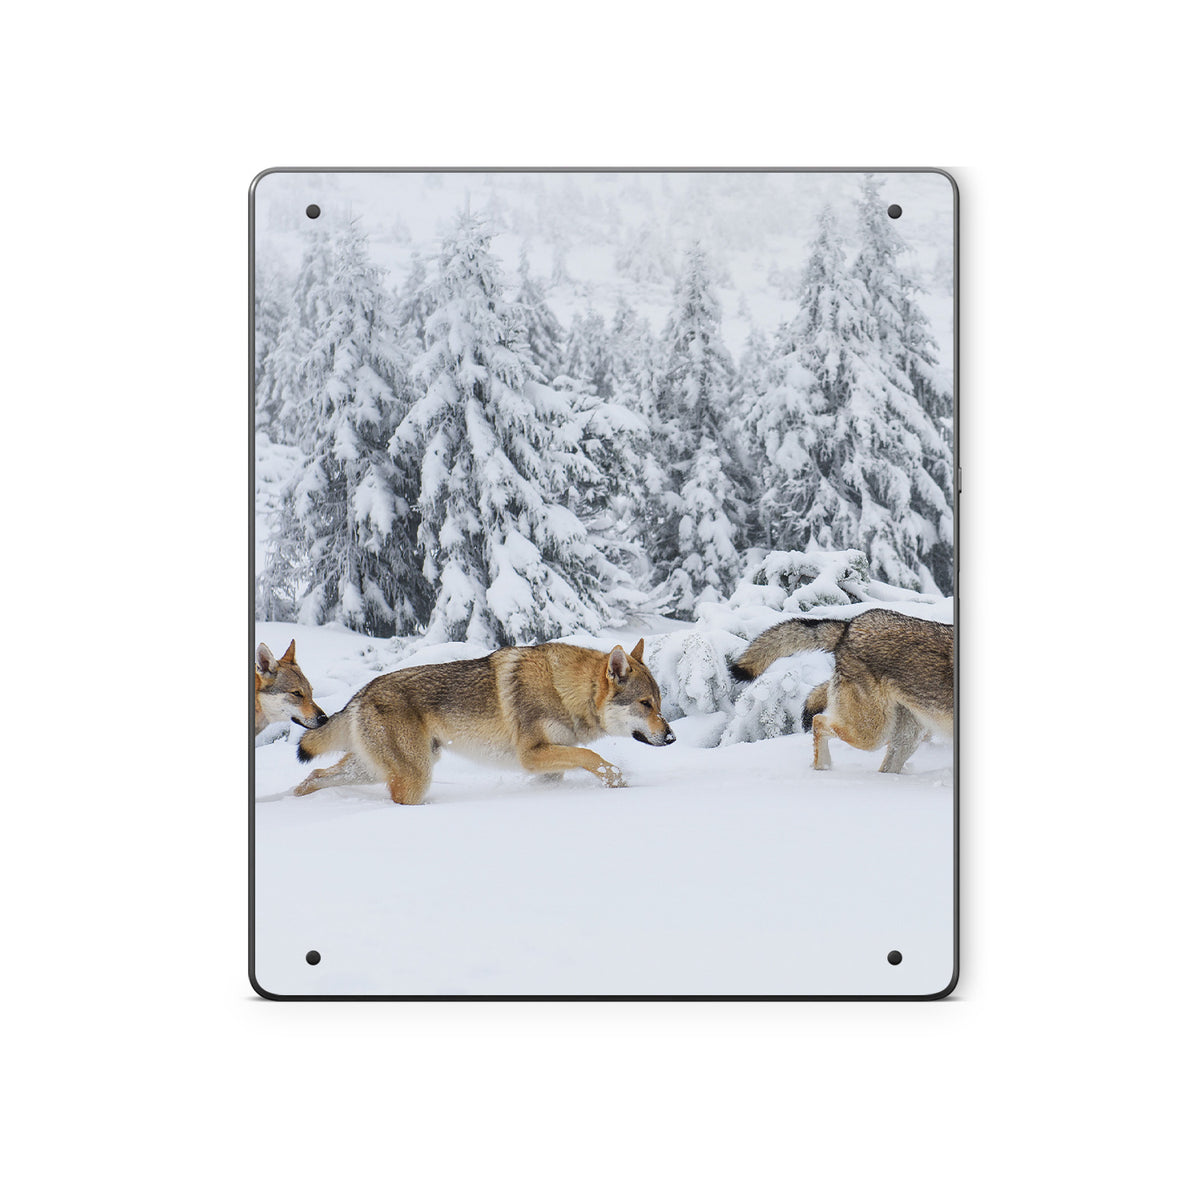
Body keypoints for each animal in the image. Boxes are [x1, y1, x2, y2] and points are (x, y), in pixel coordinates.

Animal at [294, 639, 675, 804]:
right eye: (644, 704)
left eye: (659, 704)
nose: (671, 737)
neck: (563, 689)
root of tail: (360, 693)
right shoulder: (531, 755)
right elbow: (593, 756)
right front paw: (618, 781)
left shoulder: (549, 763)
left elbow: (575, 763)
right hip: (415, 776)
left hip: (374, 769)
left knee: (314, 775)